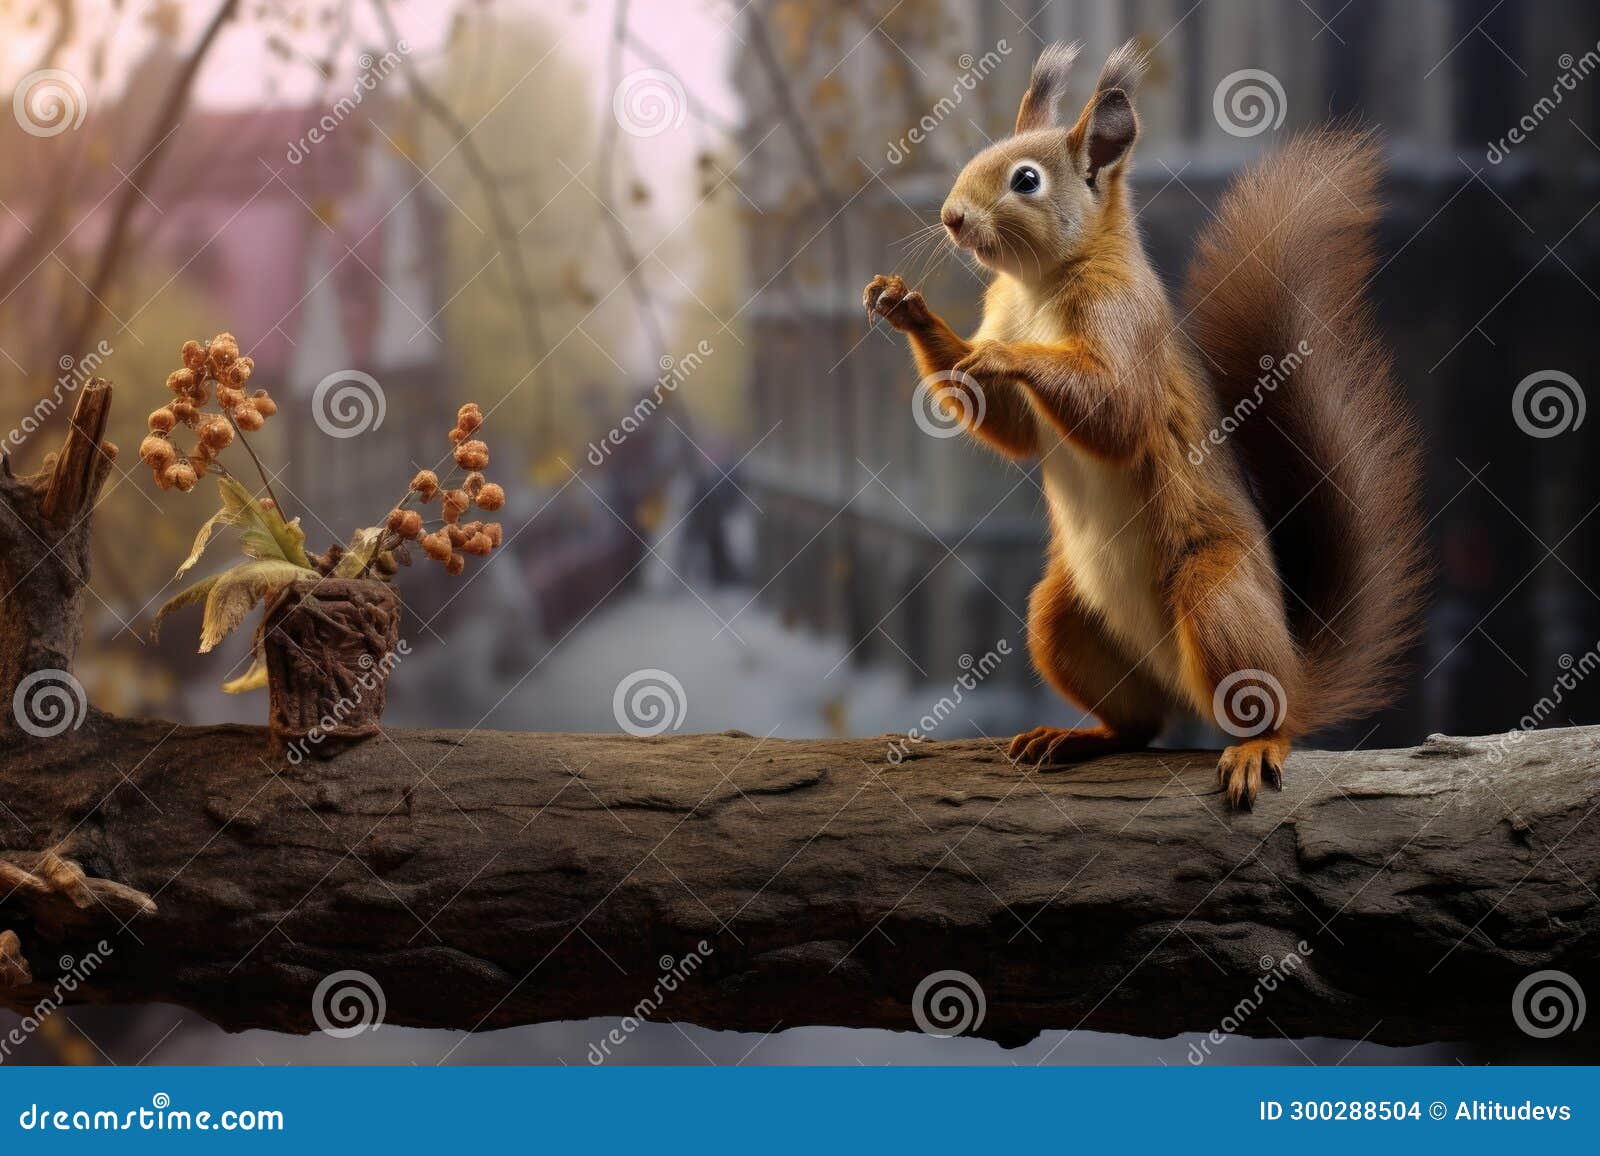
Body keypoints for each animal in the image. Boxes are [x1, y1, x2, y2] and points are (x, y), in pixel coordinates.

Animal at [864, 41, 1427, 809]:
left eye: (1026, 179)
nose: (951, 217)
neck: (1040, 286)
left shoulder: (1122, 321)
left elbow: (1117, 412)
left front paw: (1009, 357)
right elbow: (1008, 427)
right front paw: (904, 307)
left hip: (1216, 598)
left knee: (1266, 711)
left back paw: (1257, 744)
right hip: (1060, 618)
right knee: (1141, 724)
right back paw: (1076, 737)